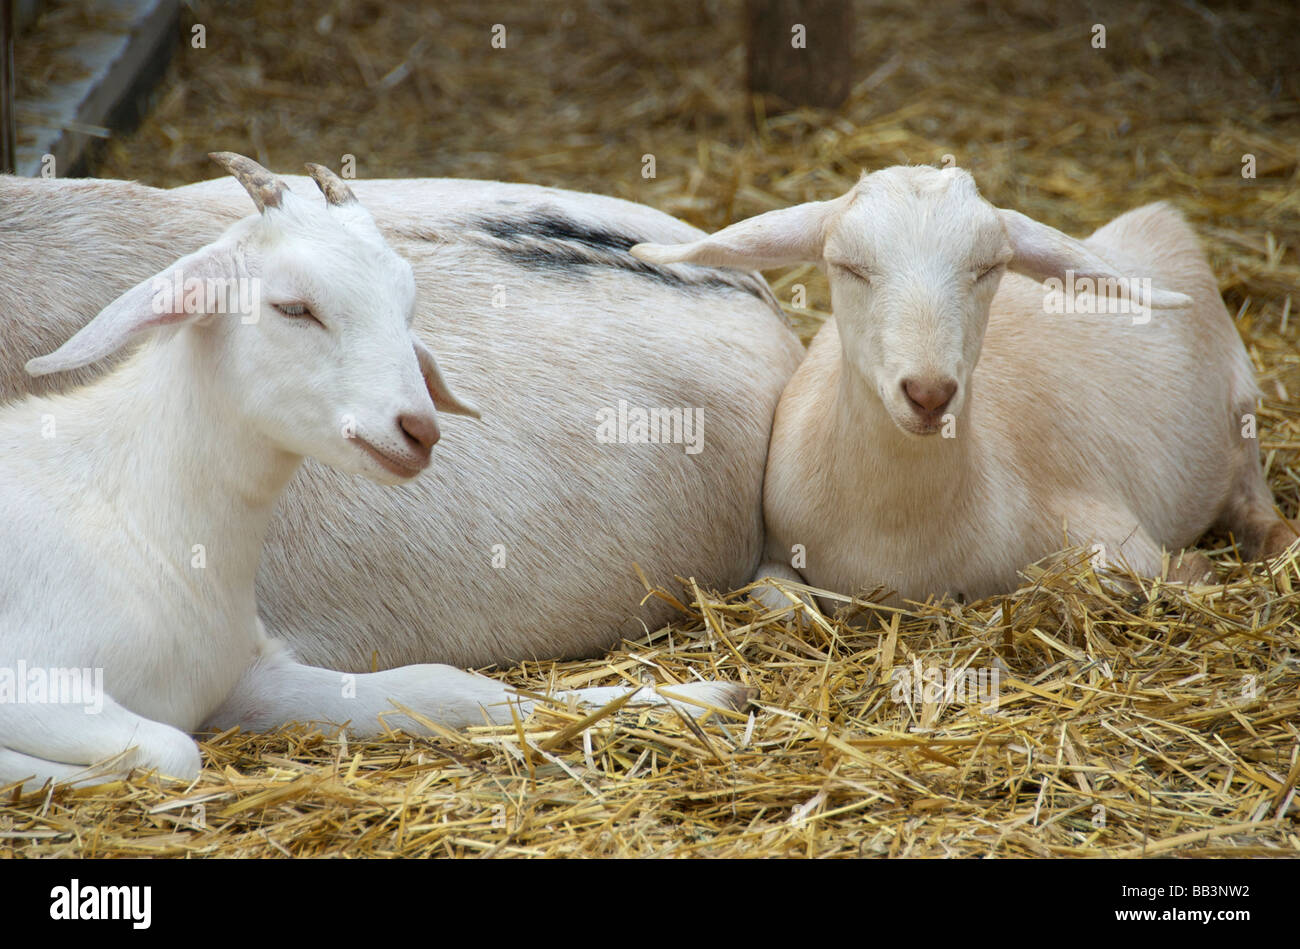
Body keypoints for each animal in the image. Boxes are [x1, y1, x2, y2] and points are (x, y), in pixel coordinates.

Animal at [0, 155, 750, 793]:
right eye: (293, 306)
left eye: (406, 306)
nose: (418, 427)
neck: (131, 505)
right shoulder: (37, 680)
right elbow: (166, 750)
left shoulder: (244, 675)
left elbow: (445, 686)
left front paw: (699, 696)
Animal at [631, 165, 1297, 607]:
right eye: (848, 266)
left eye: (989, 267)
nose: (928, 393)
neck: (897, 529)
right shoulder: (774, 555)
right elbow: (784, 601)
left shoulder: (1111, 537)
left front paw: (1198, 571)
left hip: (1240, 414)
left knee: (1255, 500)